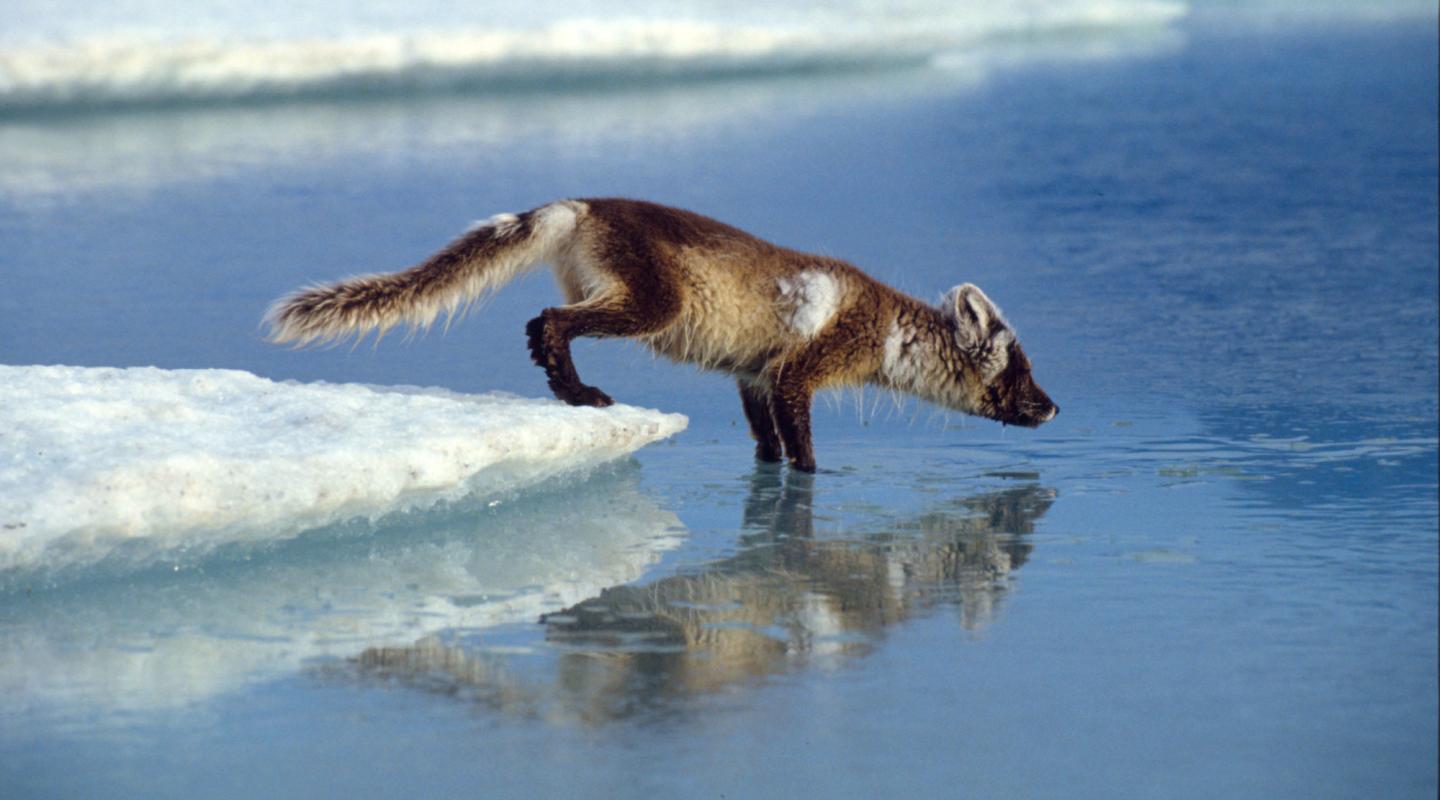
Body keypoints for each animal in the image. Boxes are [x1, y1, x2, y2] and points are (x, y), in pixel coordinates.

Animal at [265, 198, 1057, 471]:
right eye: (1019, 371)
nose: (1054, 407)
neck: (889, 329)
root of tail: (579, 205)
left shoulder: (753, 375)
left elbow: (767, 443)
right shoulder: (802, 368)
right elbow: (801, 447)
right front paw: (816, 479)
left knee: (544, 319)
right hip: (652, 303)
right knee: (547, 321)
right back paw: (578, 393)